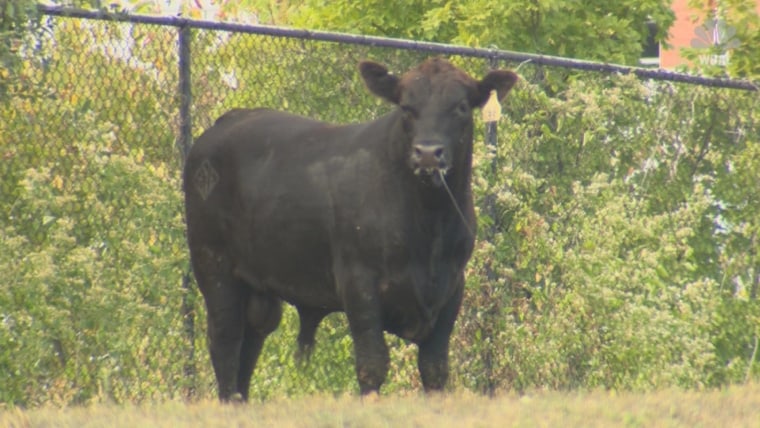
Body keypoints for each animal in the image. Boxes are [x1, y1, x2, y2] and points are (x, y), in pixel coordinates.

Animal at [183, 57, 518, 401]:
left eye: (461, 107)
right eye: (406, 107)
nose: (427, 153)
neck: (429, 226)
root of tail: (226, 122)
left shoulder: (452, 285)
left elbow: (435, 367)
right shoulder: (359, 281)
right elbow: (373, 363)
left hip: (258, 287)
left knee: (250, 344)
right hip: (213, 265)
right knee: (225, 341)